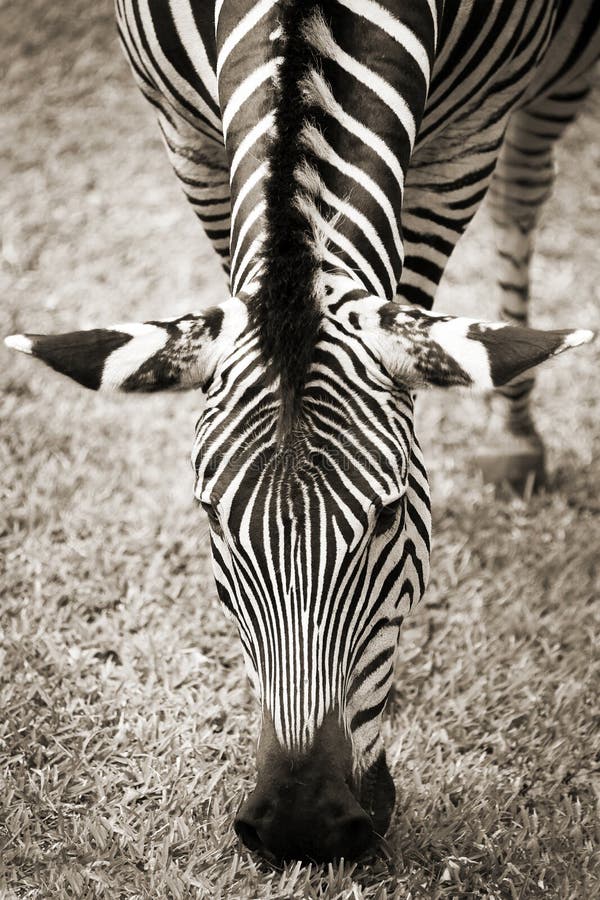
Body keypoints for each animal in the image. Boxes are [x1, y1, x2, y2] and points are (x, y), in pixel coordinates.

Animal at [5, 0, 598, 863]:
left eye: (392, 517)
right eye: (210, 518)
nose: (300, 826)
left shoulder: (466, 138)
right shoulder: (187, 136)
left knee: (527, 184)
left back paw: (517, 431)